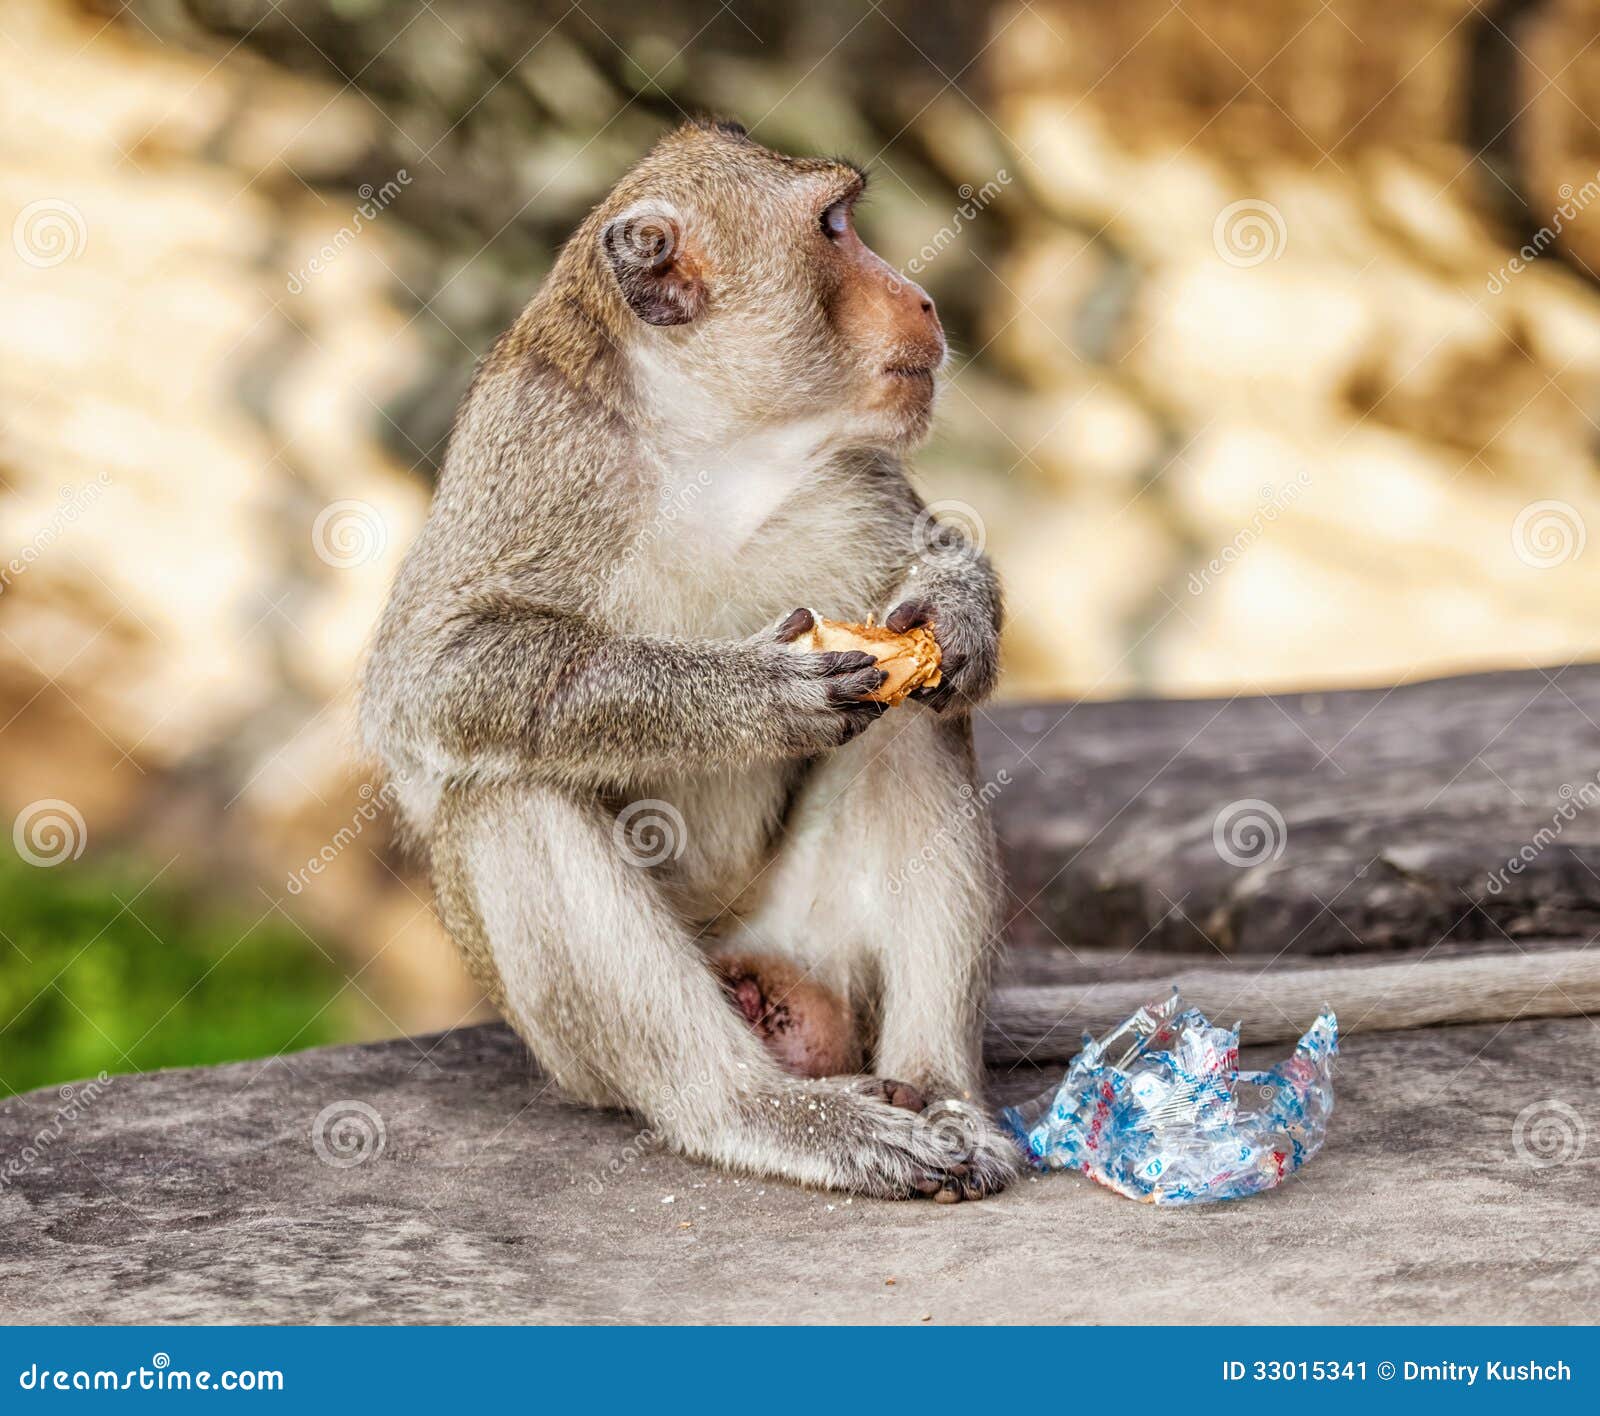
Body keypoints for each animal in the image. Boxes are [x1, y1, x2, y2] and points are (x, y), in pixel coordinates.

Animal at [361, 119, 1018, 1202]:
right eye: (834, 227)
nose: (921, 298)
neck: (714, 445)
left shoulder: (858, 475)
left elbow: (926, 581)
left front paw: (955, 615)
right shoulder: (537, 448)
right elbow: (431, 676)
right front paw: (754, 695)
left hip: (810, 942)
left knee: (915, 725)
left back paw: (940, 1090)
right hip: (573, 1055)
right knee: (506, 792)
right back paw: (757, 1111)